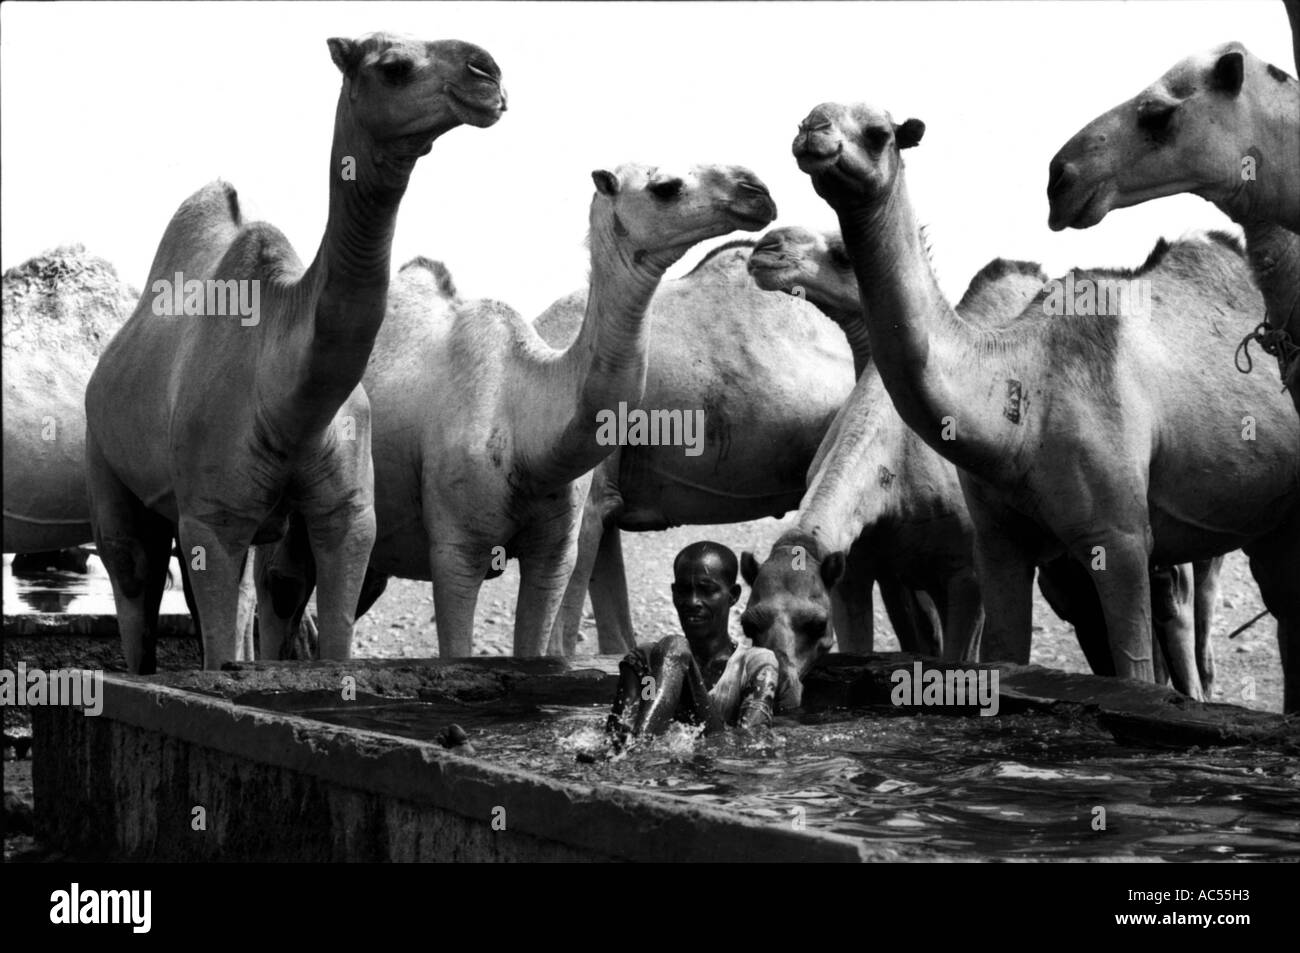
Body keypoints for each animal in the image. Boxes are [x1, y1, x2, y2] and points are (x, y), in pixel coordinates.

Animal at [84, 33, 506, 673]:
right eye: (394, 67)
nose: (488, 74)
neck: (291, 398)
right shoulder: (213, 517)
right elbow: (216, 649)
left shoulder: (349, 517)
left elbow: (331, 641)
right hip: (103, 455)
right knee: (132, 572)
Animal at [264, 162, 779, 659]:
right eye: (666, 187)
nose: (758, 192)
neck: (528, 435)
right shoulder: (456, 550)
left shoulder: (554, 554)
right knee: (280, 584)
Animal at [788, 101, 1300, 711]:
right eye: (810, 116)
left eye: (878, 133)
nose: (813, 132)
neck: (1020, 402)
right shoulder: (998, 545)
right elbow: (1003, 656)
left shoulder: (1121, 538)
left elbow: (1134, 672)